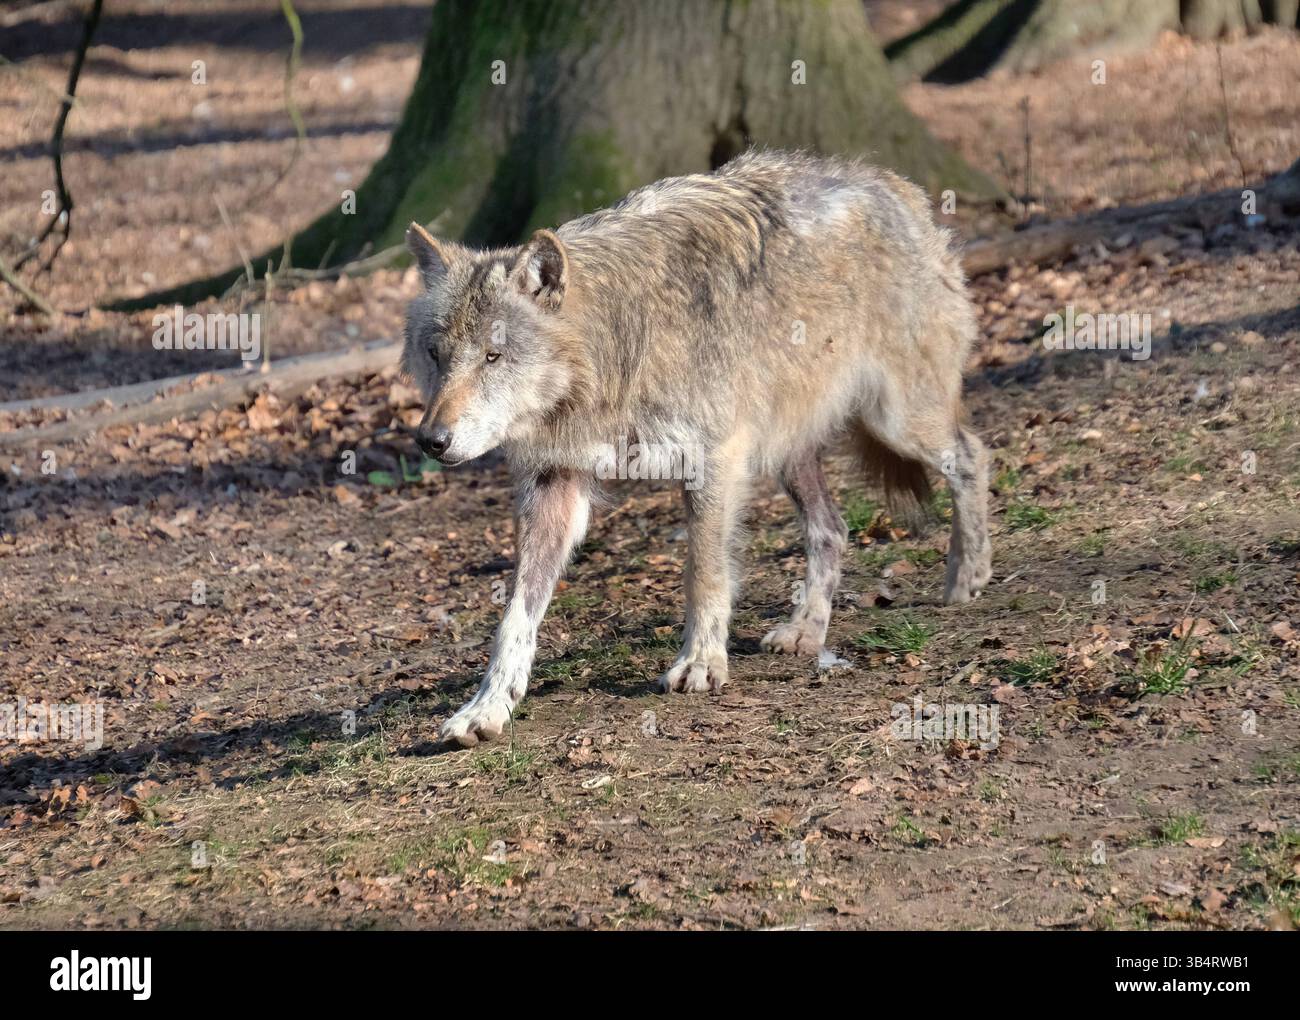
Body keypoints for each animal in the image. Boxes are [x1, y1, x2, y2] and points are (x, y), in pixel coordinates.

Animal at [401, 149, 991, 747]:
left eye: (493, 356)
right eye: (436, 354)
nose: (431, 440)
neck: (613, 353)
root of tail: (895, 185)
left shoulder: (713, 462)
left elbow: (704, 573)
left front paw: (702, 663)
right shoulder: (554, 487)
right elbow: (515, 616)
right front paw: (488, 706)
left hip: (897, 422)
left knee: (972, 454)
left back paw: (968, 574)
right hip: (789, 451)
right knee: (833, 528)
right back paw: (806, 630)